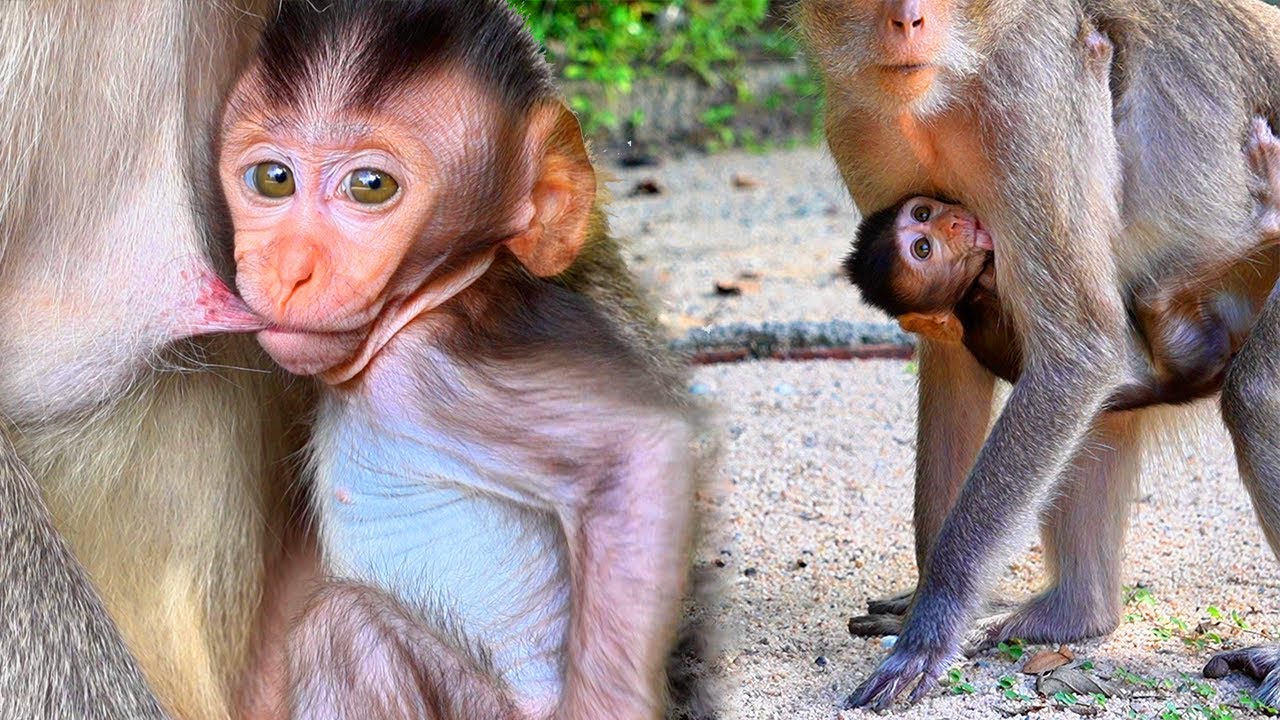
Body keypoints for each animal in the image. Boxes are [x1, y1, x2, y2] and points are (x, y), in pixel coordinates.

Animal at [214, 2, 701, 719]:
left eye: (370, 187)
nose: (290, 269)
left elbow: (643, 454)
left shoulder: (431, 370)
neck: (432, 300)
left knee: (345, 632)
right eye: (273, 178)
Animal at [798, 0, 1280, 708]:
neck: (951, 87)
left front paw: (929, 625)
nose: (909, 19)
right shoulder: (861, 129)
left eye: (928, 219)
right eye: (919, 235)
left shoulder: (1028, 98)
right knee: (1111, 398)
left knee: (1250, 395)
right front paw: (926, 603)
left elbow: (1078, 347)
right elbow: (972, 360)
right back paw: (1074, 615)